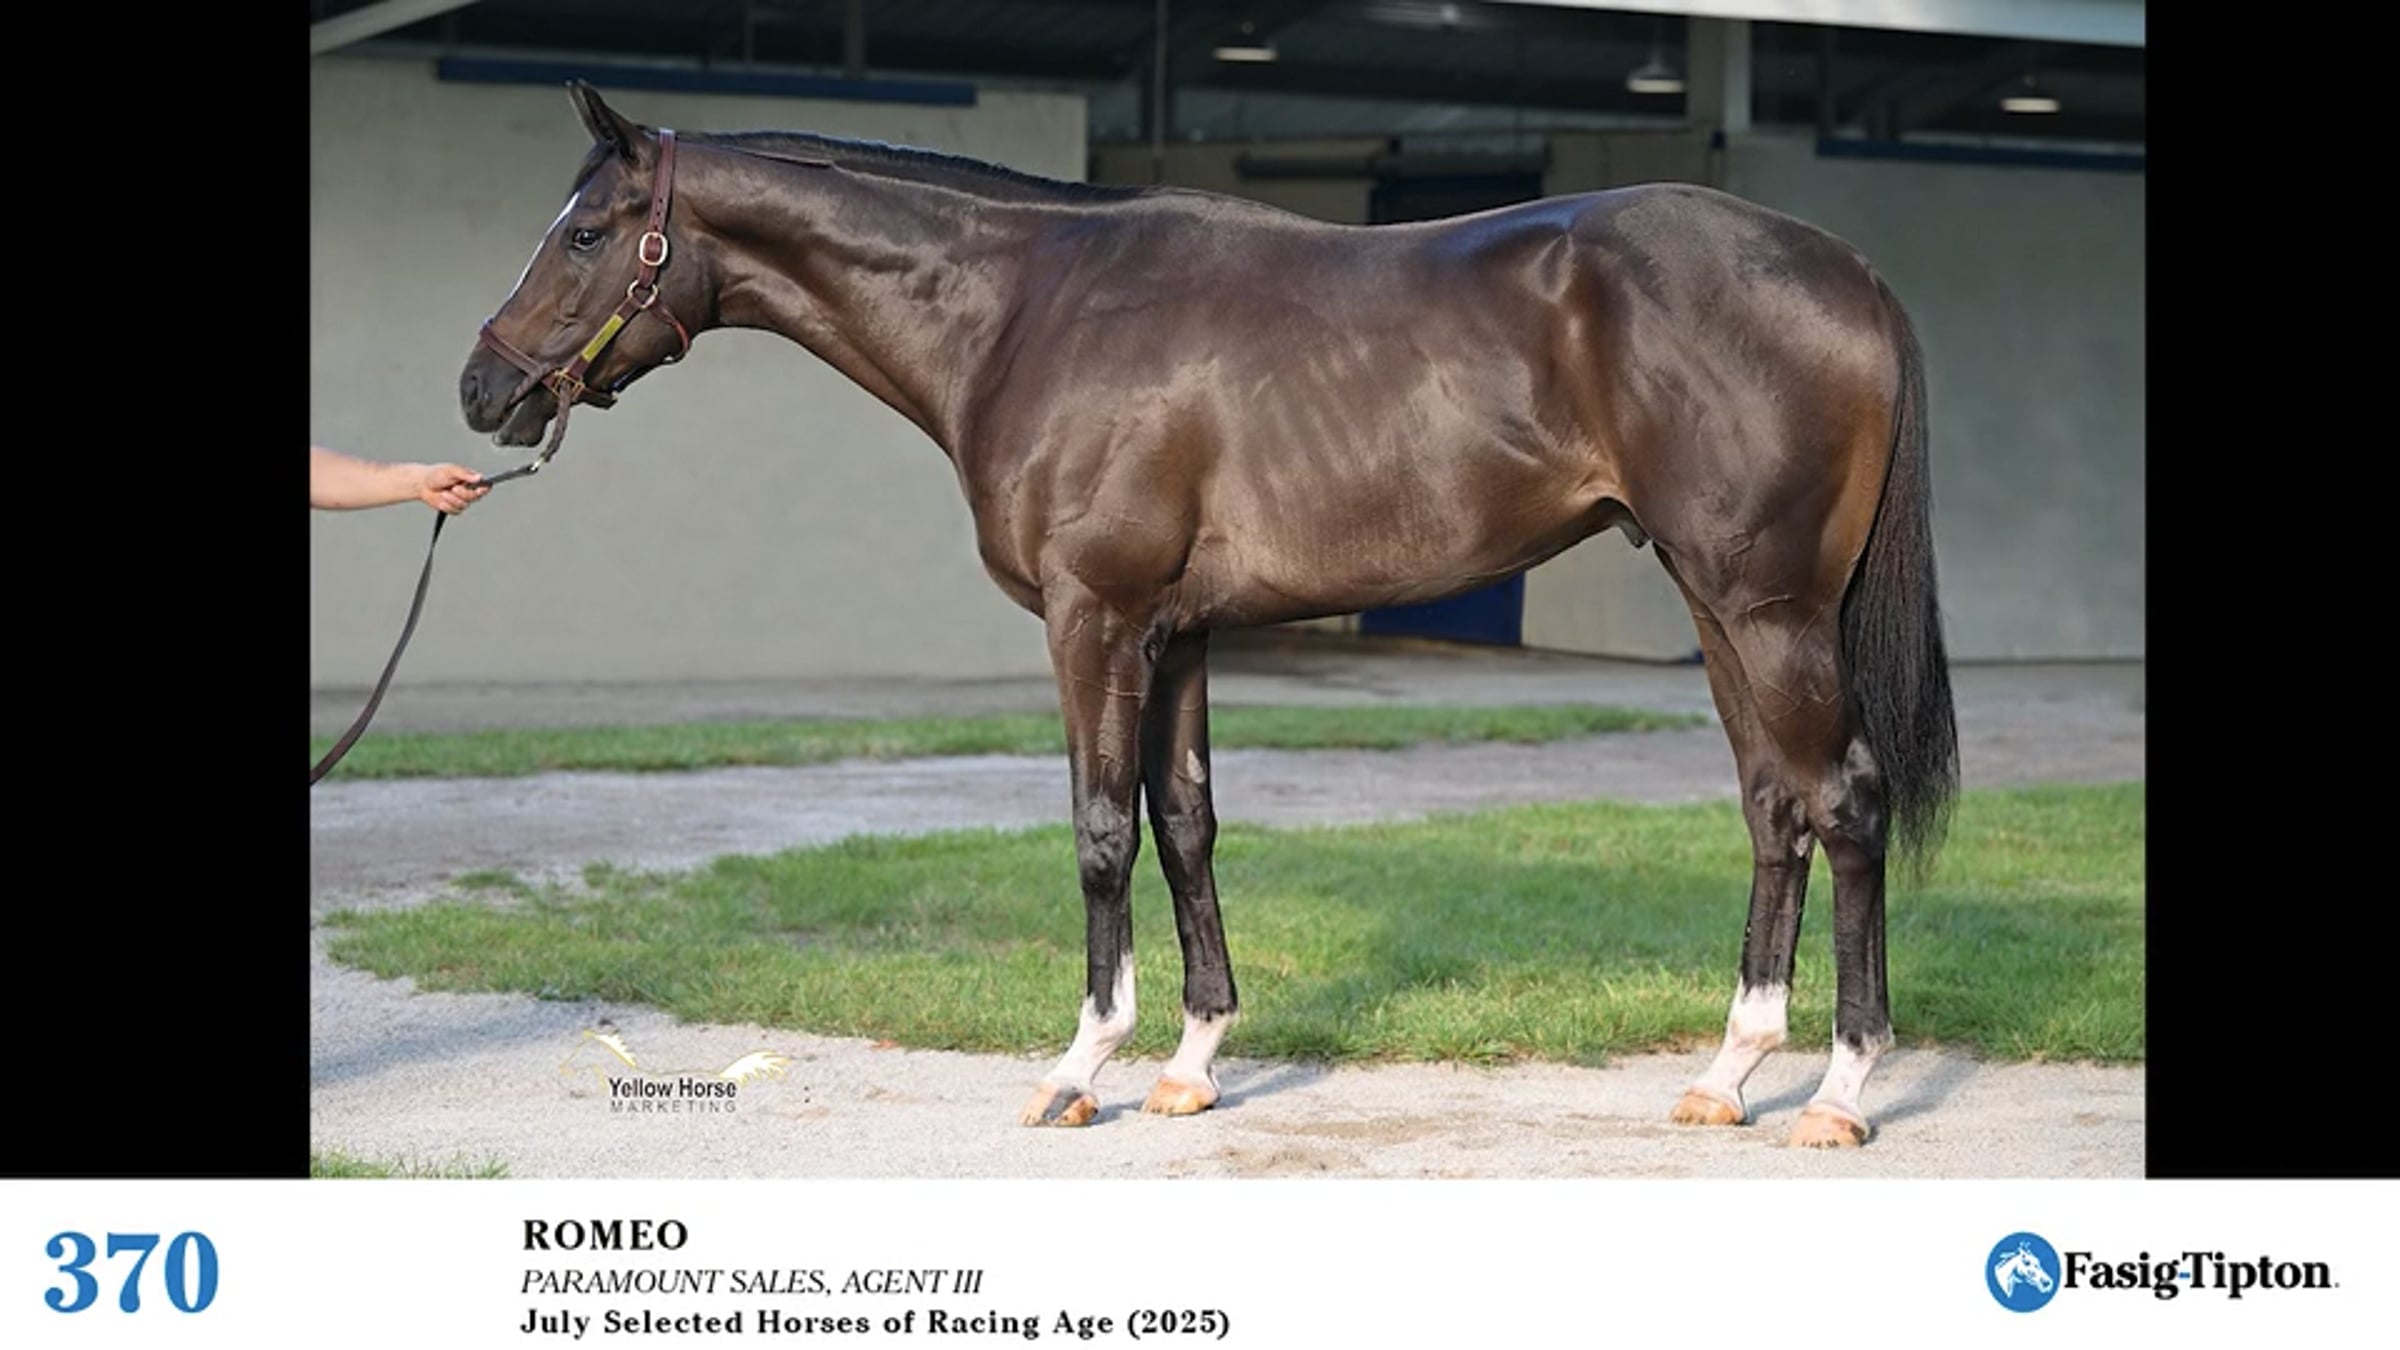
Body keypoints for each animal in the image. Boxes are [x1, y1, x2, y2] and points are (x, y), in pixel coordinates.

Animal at [457, 81, 1958, 1150]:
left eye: (586, 233)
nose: (483, 390)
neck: (1026, 311)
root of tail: (1855, 273)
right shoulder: (1175, 635)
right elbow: (1184, 824)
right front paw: (1190, 1064)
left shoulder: (1095, 619)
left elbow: (1101, 833)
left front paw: (1079, 1068)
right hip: (1717, 603)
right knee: (1773, 806)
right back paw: (1729, 1073)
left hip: (1768, 608)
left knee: (1846, 800)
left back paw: (1841, 1089)